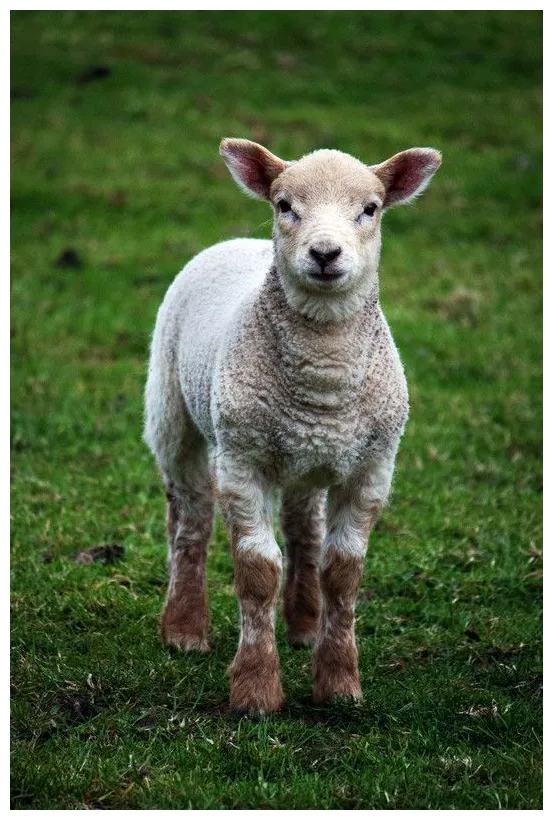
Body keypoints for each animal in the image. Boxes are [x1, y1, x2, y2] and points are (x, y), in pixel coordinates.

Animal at [144, 138, 441, 716]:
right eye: (285, 205)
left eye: (370, 209)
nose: (325, 254)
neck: (323, 378)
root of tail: (238, 241)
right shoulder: (242, 461)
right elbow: (258, 573)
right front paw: (256, 690)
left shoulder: (373, 467)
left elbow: (342, 573)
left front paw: (340, 684)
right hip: (172, 413)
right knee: (189, 518)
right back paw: (185, 627)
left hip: (311, 457)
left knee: (304, 528)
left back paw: (305, 624)